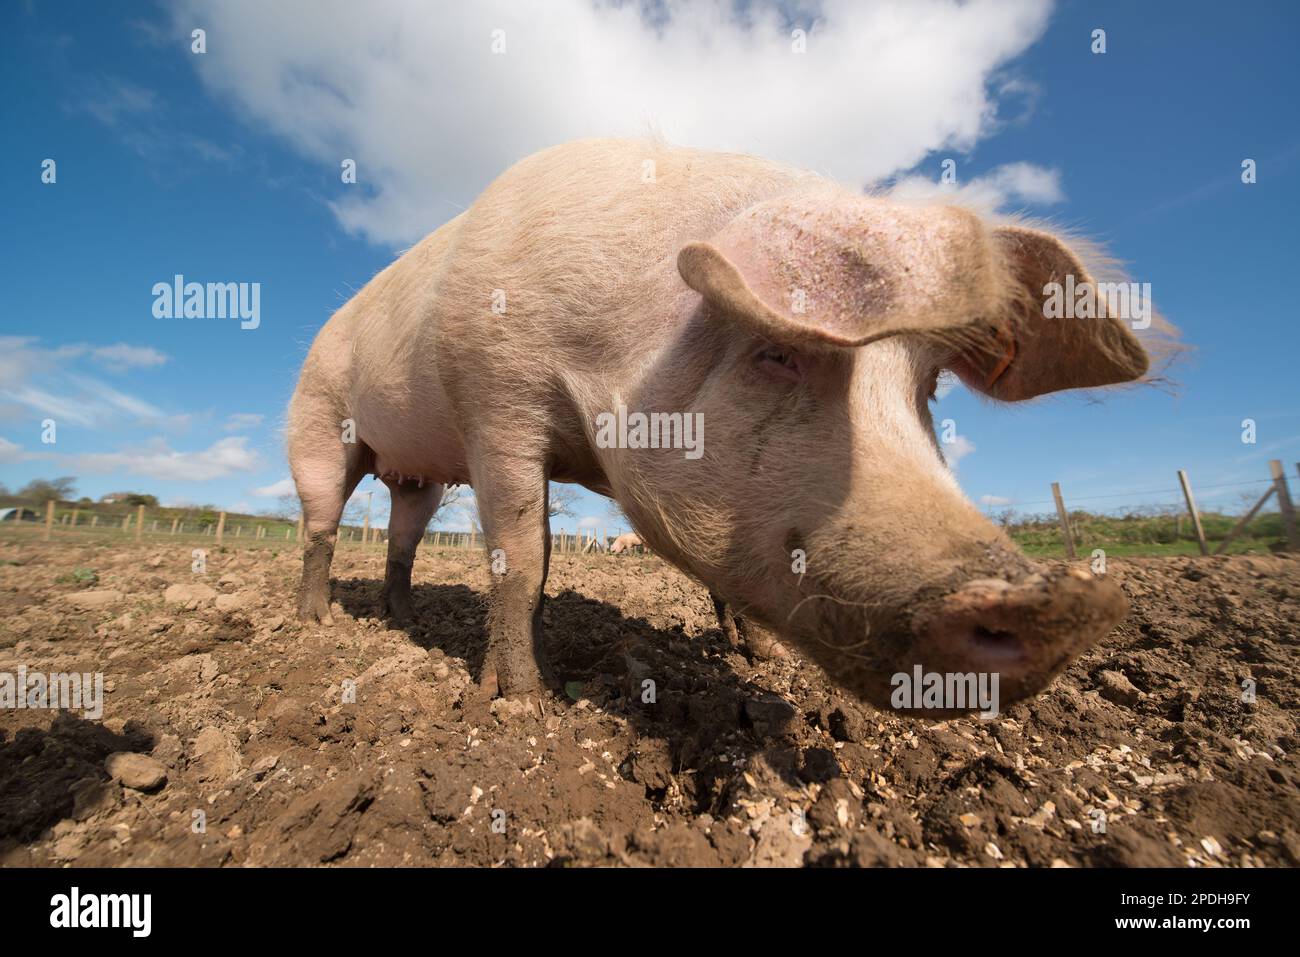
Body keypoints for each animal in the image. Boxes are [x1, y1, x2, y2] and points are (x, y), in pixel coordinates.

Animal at [288, 138, 1171, 714]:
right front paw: (519, 706)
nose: (1061, 600)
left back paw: (403, 616)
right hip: (317, 423)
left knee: (402, 528)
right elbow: (522, 555)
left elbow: (714, 573)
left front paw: (762, 655)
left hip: (417, 471)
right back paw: (315, 620)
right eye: (777, 353)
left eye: (929, 389)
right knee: (322, 524)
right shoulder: (495, 395)